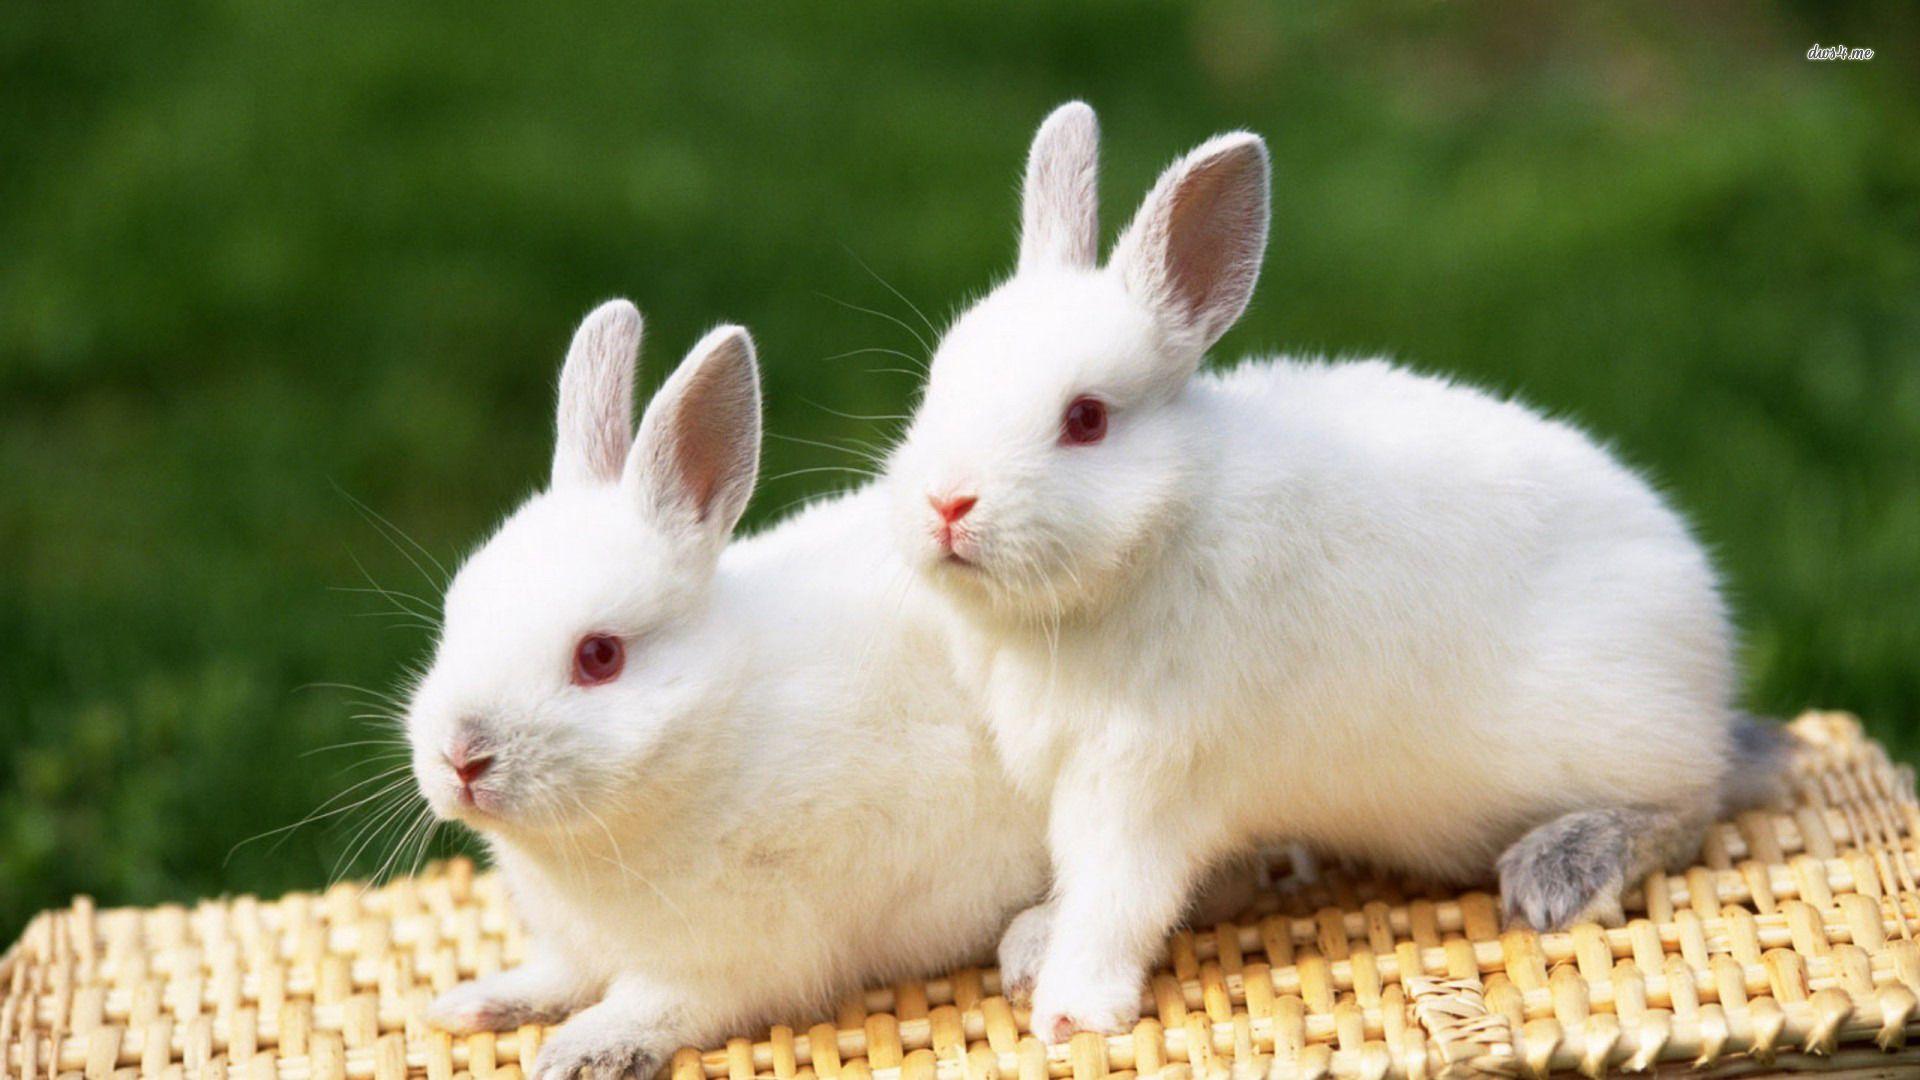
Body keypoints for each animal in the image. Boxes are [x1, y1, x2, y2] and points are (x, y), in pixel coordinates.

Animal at [404, 300, 1052, 1079]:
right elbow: (556, 976)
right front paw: (477, 1003)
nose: (462, 757)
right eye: (456, 613)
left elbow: (661, 1004)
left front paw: (584, 1052)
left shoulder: (735, 959)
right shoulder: (573, 947)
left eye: (600, 656)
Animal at [880, 102, 1786, 1043]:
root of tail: (1709, 654)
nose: (946, 504)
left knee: (1692, 805)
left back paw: (1560, 869)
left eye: (1086, 419)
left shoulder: (1142, 780)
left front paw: (1071, 1010)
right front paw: (1032, 942)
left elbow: (1116, 899)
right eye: (936, 386)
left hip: (1622, 736)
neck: (1163, 529)